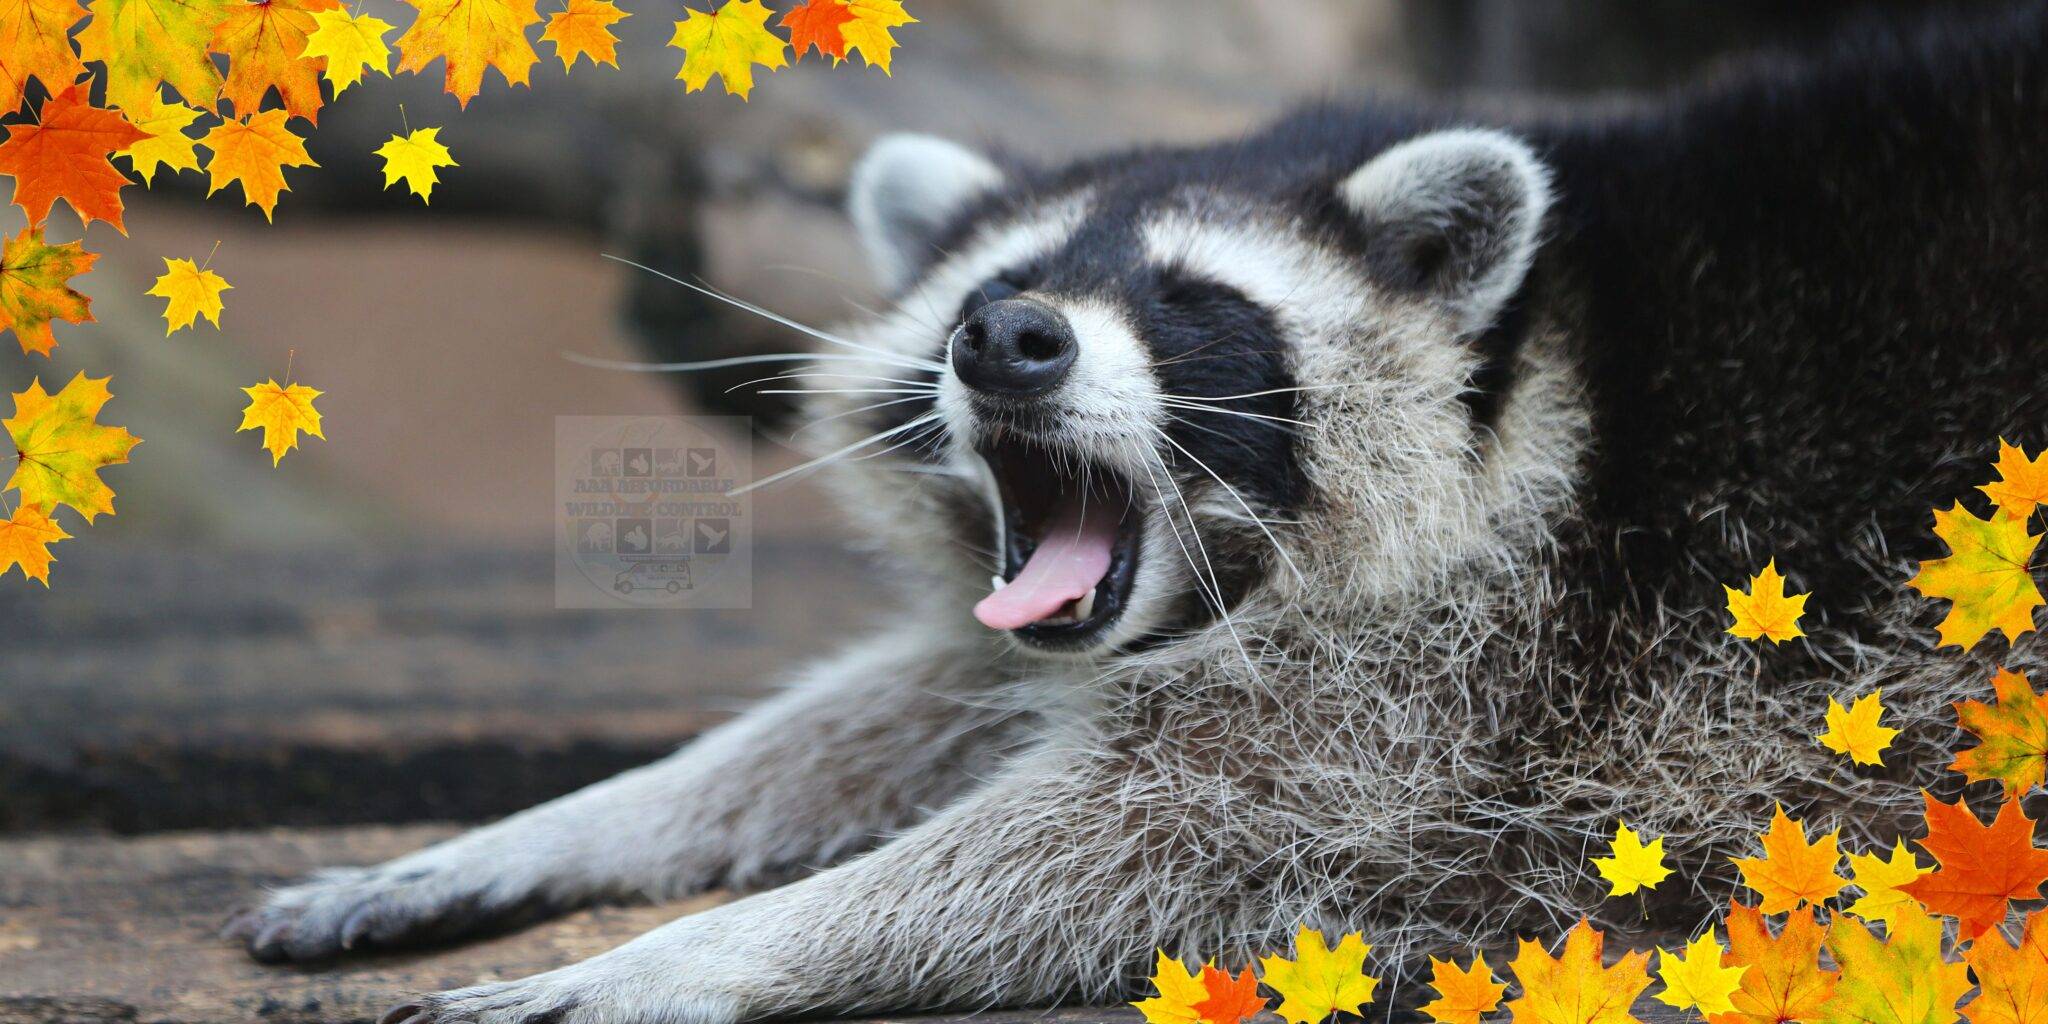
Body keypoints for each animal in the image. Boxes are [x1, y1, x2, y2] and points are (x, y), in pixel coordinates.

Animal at [228, 7, 2048, 1023]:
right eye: (993, 290)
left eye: (1189, 305)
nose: (1007, 340)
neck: (1541, 364)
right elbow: (908, 701)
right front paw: (561, 823)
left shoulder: (1502, 668)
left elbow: (1164, 831)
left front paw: (703, 948)